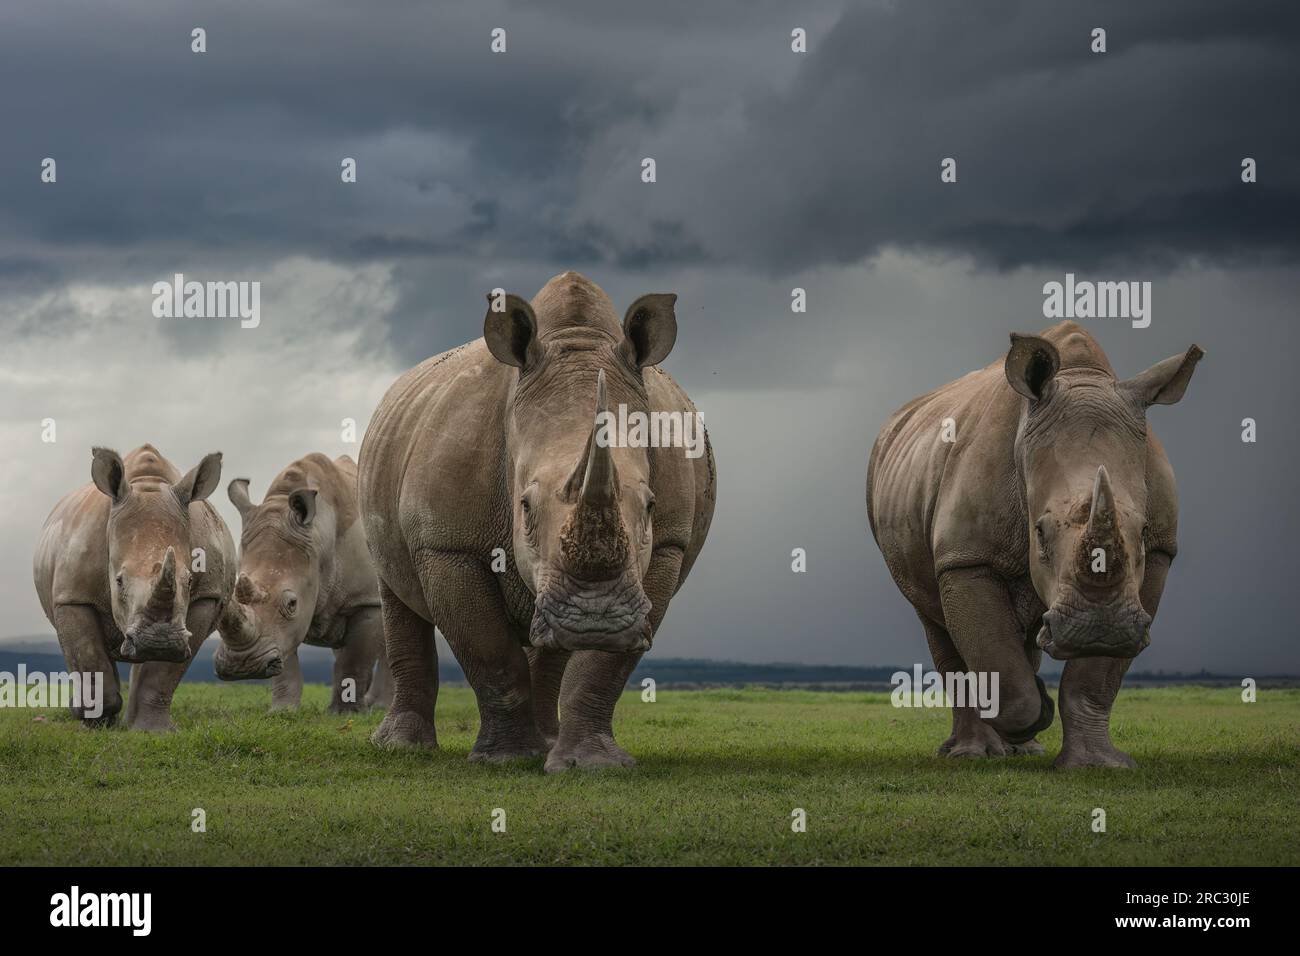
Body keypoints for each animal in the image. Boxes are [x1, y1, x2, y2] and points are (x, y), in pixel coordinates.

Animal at [33, 445, 235, 730]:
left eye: (190, 581)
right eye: (118, 581)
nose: (159, 641)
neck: (147, 483)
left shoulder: (206, 596)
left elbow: (162, 674)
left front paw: (153, 731)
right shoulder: (72, 596)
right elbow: (89, 658)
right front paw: (91, 721)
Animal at [216, 454, 390, 712]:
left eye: (292, 603)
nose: (241, 666)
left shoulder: (366, 599)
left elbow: (355, 660)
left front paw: (344, 713)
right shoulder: (279, 631)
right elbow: (285, 662)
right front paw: (282, 711)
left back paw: (379, 707)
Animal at [359, 271, 715, 771]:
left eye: (649, 505)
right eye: (525, 506)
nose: (595, 620)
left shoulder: (667, 546)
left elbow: (601, 669)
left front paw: (592, 765)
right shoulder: (445, 544)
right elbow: (490, 652)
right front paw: (504, 760)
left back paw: (547, 744)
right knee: (396, 593)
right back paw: (400, 747)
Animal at [868, 321, 1202, 768]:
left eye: (1143, 530)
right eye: (1040, 532)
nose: (1100, 628)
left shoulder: (1162, 553)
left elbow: (1094, 682)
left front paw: (1097, 765)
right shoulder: (966, 556)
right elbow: (996, 664)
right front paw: (1038, 710)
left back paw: (1023, 749)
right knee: (936, 619)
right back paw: (972, 753)